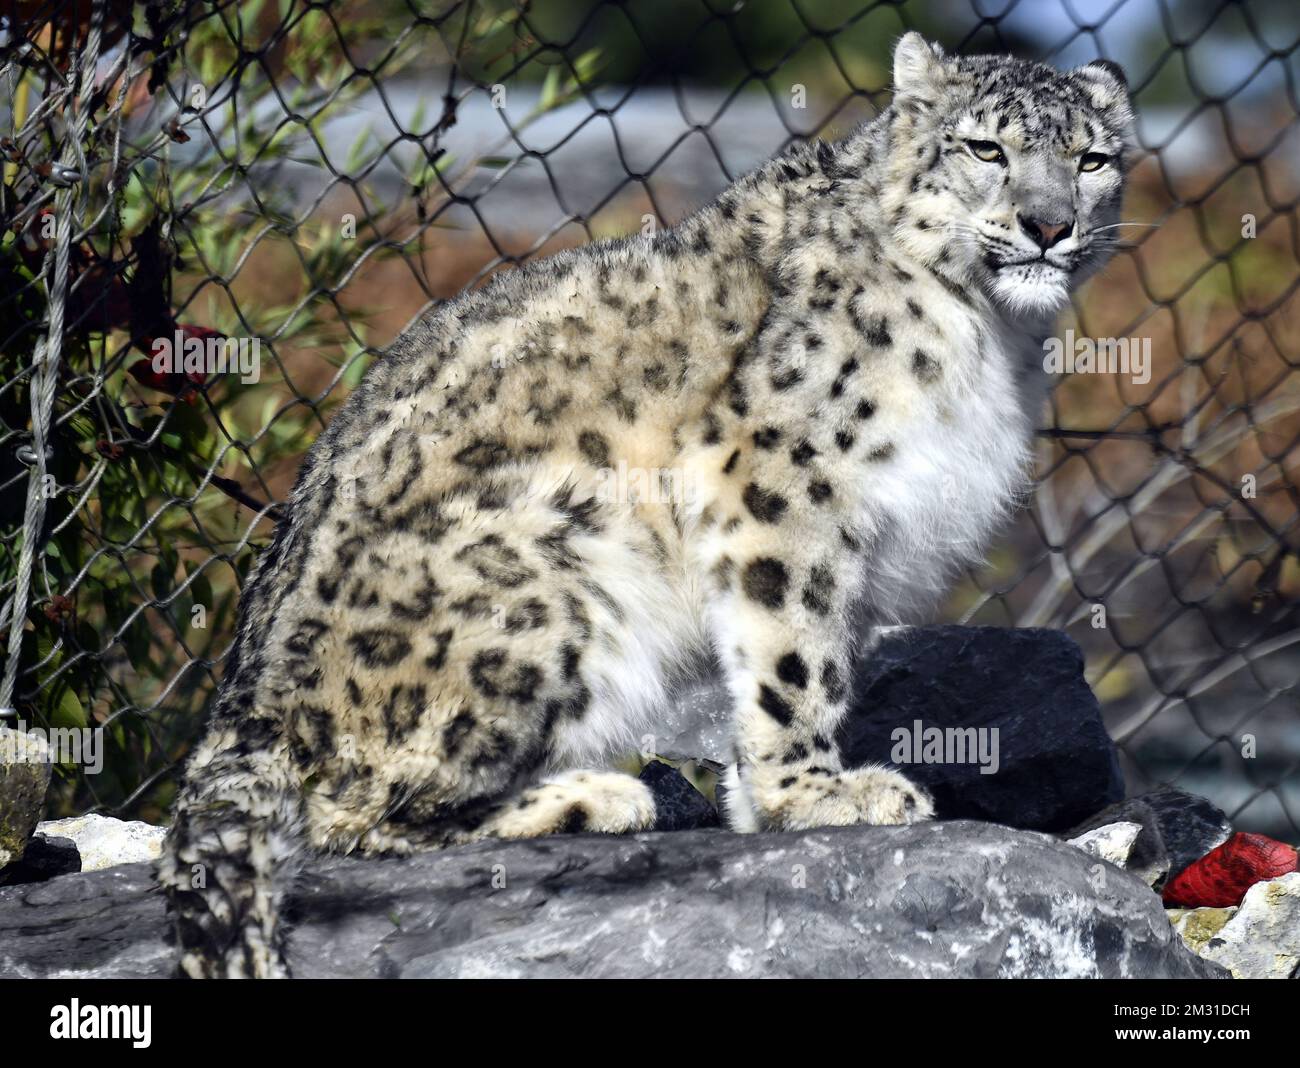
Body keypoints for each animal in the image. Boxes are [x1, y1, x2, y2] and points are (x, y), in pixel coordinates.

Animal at [159, 32, 1135, 977]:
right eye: (985, 148)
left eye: (1090, 159)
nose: (1050, 225)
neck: (992, 337)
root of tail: (243, 706)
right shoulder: (786, 478)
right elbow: (796, 650)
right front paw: (817, 797)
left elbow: (786, 650)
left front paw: (757, 796)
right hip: (541, 581)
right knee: (354, 814)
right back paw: (603, 793)